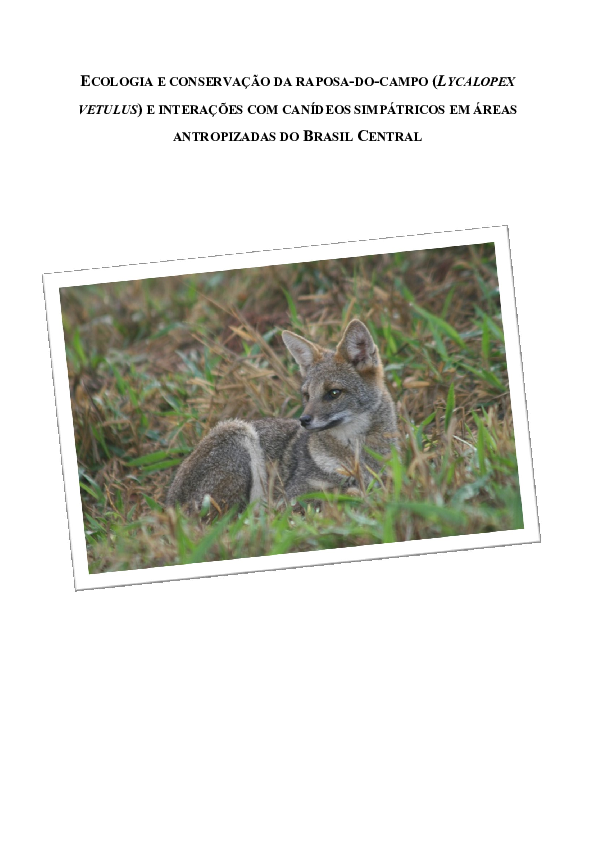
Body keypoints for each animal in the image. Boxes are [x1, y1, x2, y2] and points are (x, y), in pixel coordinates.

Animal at [165, 319, 398, 513]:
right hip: (237, 432)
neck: (356, 454)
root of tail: (170, 503)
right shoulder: (291, 497)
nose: (303, 420)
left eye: (333, 393)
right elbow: (343, 494)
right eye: (307, 395)